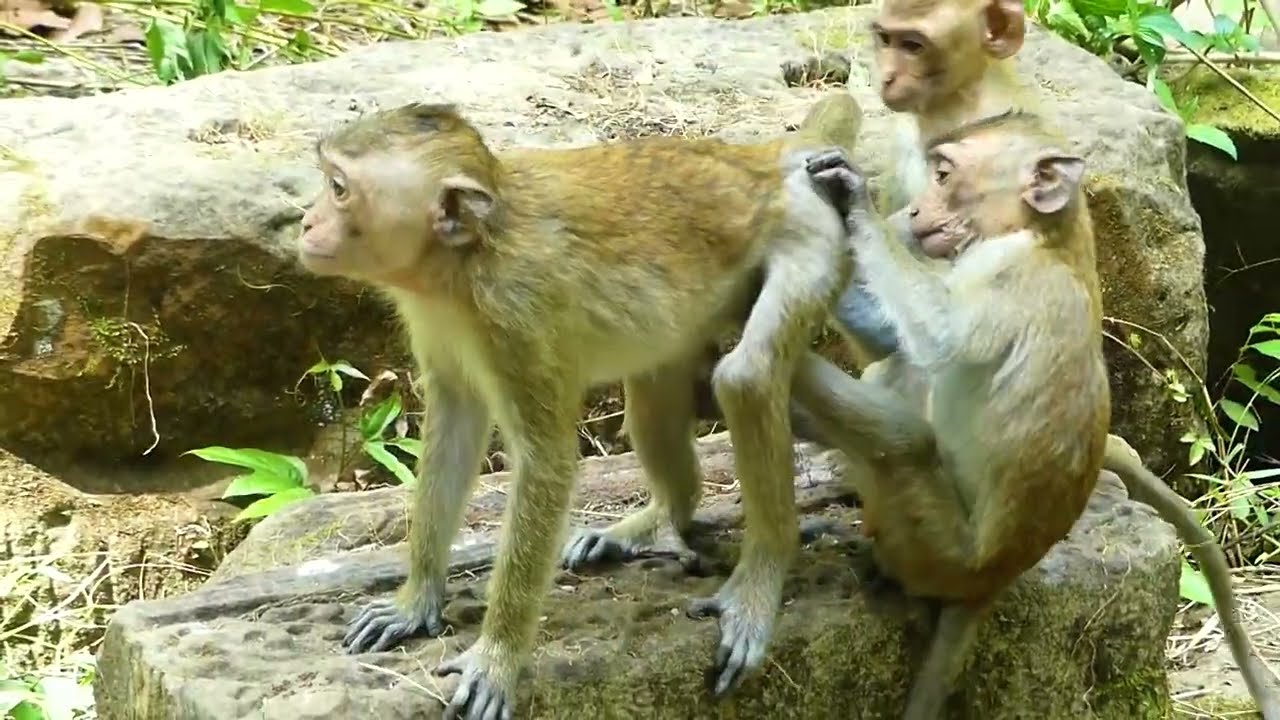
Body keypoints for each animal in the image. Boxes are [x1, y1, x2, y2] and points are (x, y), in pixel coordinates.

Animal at [295, 95, 861, 719]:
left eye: (338, 188)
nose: (306, 222)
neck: (464, 260)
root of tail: (760, 158)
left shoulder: (517, 315)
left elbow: (547, 462)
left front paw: (496, 658)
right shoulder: (436, 316)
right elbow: (454, 428)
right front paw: (415, 602)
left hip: (812, 227)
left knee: (747, 379)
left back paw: (760, 582)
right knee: (653, 387)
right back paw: (659, 519)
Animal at [790, 111, 1280, 720]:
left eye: (943, 174)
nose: (915, 212)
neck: (1040, 236)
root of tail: (990, 578)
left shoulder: (1003, 276)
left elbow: (938, 336)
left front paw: (850, 197)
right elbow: (893, 334)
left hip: (931, 541)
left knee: (903, 417)